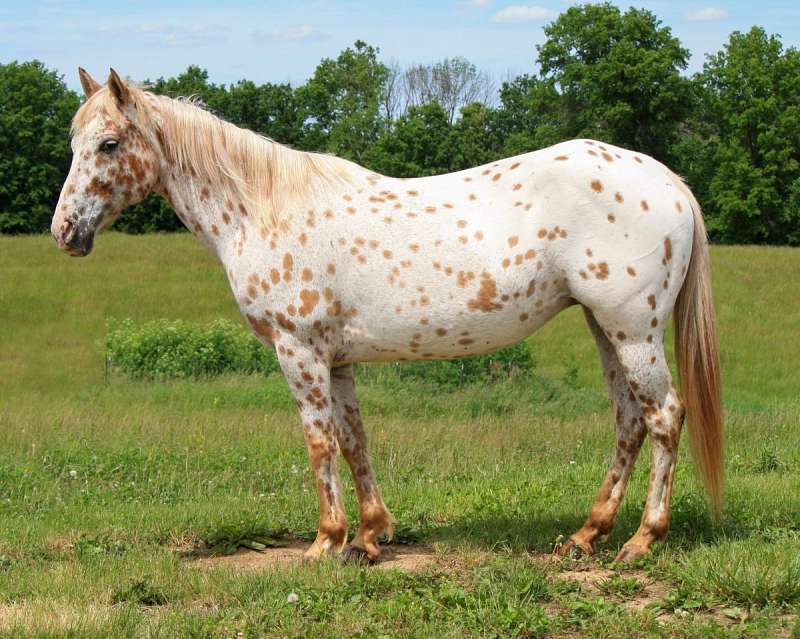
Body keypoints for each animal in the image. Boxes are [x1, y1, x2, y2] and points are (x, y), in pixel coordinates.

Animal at [51, 68, 722, 564]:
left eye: (109, 144)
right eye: (75, 143)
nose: (64, 232)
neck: (263, 209)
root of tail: (666, 179)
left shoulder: (299, 351)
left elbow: (319, 442)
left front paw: (326, 543)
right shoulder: (337, 360)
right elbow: (354, 439)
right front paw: (371, 536)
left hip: (632, 331)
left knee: (664, 417)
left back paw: (642, 541)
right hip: (606, 330)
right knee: (628, 422)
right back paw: (588, 534)